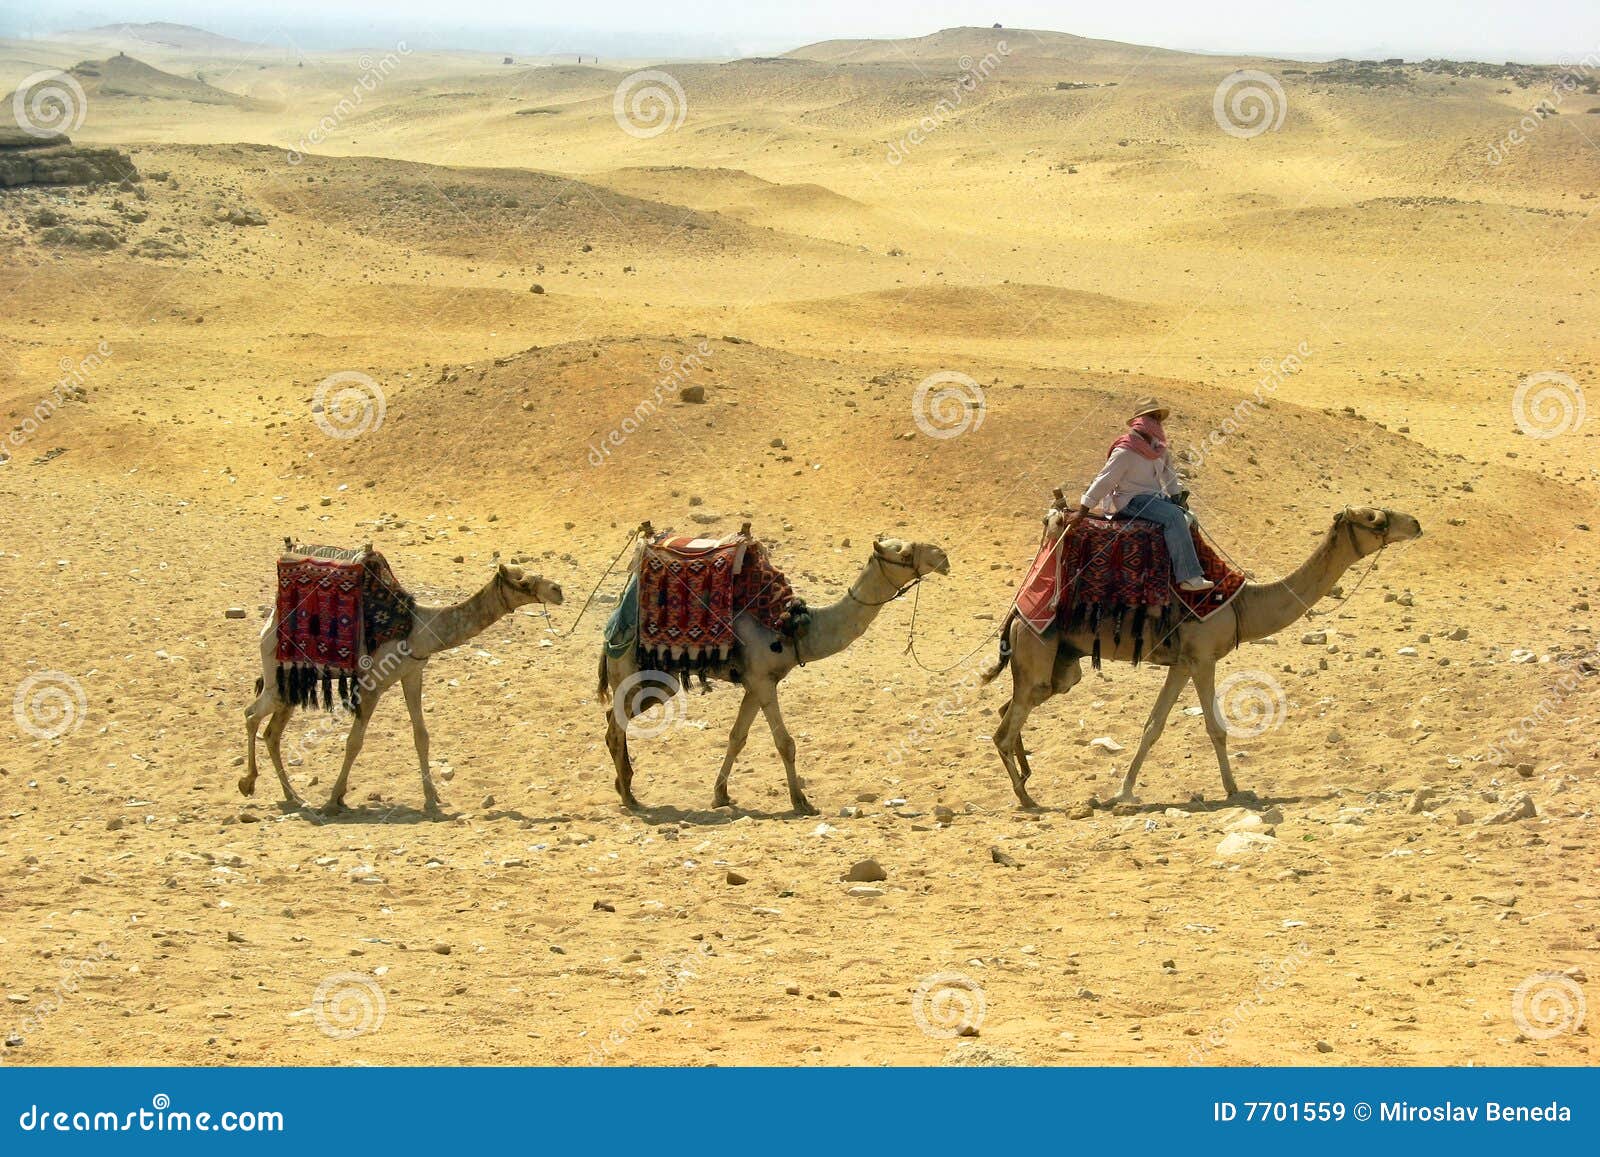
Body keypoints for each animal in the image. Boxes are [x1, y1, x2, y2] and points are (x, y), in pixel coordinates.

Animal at [241, 562, 563, 815]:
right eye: (522, 581)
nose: (557, 589)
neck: (420, 629)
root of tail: (269, 624)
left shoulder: (412, 673)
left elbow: (421, 736)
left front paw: (432, 800)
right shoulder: (372, 684)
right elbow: (354, 742)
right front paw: (334, 800)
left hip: (293, 685)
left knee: (271, 733)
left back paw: (292, 795)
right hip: (278, 676)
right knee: (251, 714)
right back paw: (249, 783)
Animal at [598, 537, 950, 815]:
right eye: (904, 552)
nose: (943, 557)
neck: (792, 628)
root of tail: (614, 627)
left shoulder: (756, 683)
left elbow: (737, 738)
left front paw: (720, 795)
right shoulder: (763, 681)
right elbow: (785, 742)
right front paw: (801, 801)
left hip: (656, 681)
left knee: (613, 717)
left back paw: (623, 785)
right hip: (636, 672)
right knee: (615, 728)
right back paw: (630, 798)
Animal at [981, 506, 1421, 808]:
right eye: (1374, 518)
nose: (1415, 523)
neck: (1240, 604)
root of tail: (1014, 615)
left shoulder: (1181, 662)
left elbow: (1152, 726)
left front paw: (1124, 792)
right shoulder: (1204, 657)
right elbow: (1216, 728)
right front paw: (1235, 790)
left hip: (1062, 665)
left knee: (1013, 706)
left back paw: (1027, 779)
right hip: (1038, 649)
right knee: (1004, 727)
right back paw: (1027, 798)